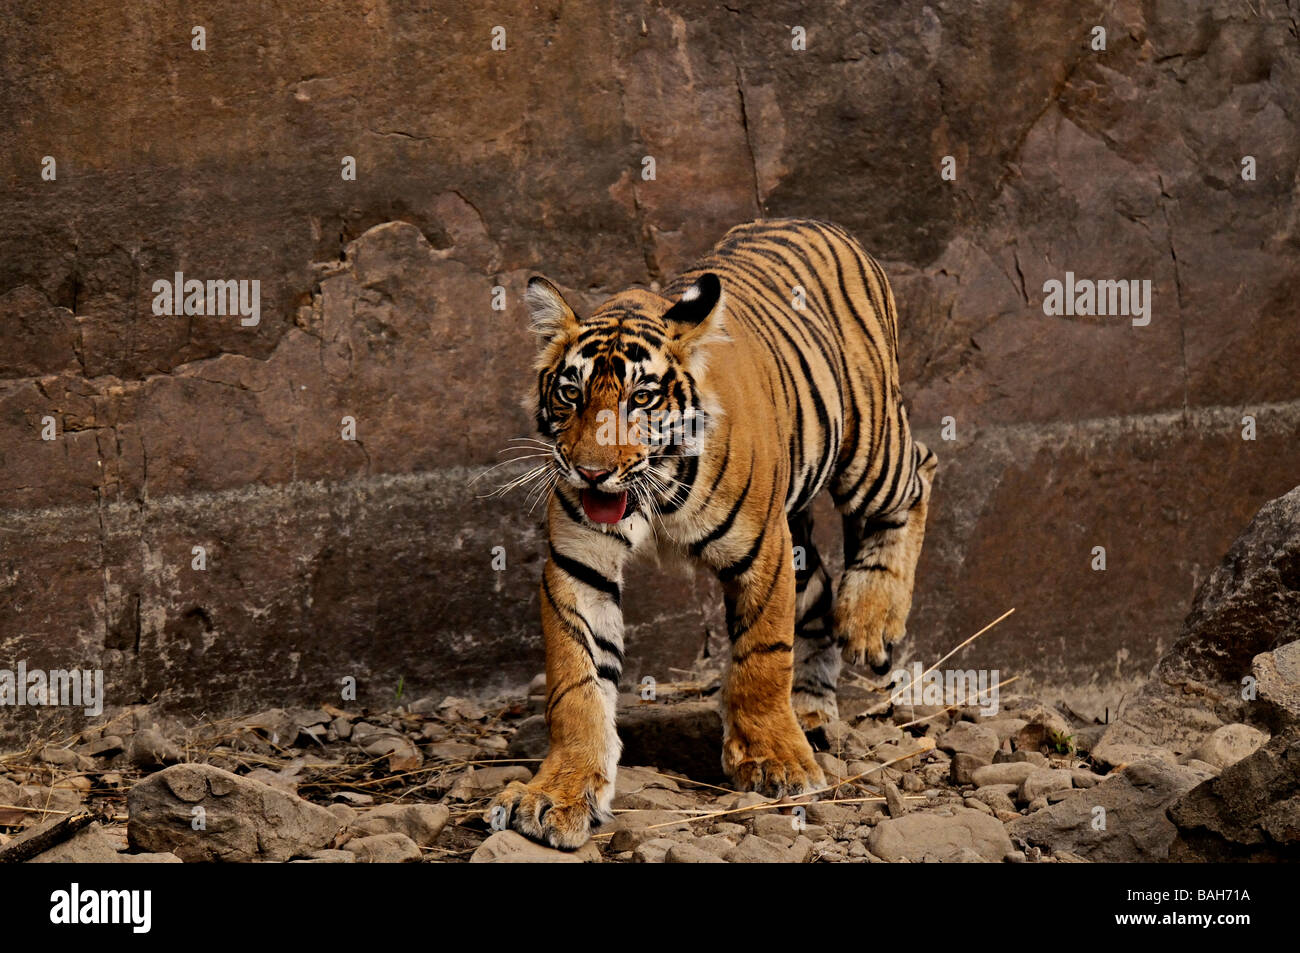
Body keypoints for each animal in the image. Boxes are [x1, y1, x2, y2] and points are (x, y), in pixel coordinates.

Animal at [488, 218, 936, 849]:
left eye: (641, 398)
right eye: (571, 394)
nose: (592, 472)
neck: (652, 492)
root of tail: (818, 223)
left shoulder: (762, 551)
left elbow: (762, 658)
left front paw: (776, 762)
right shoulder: (578, 565)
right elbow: (576, 684)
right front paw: (558, 792)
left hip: (869, 448)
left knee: (921, 472)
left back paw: (870, 621)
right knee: (819, 592)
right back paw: (813, 711)